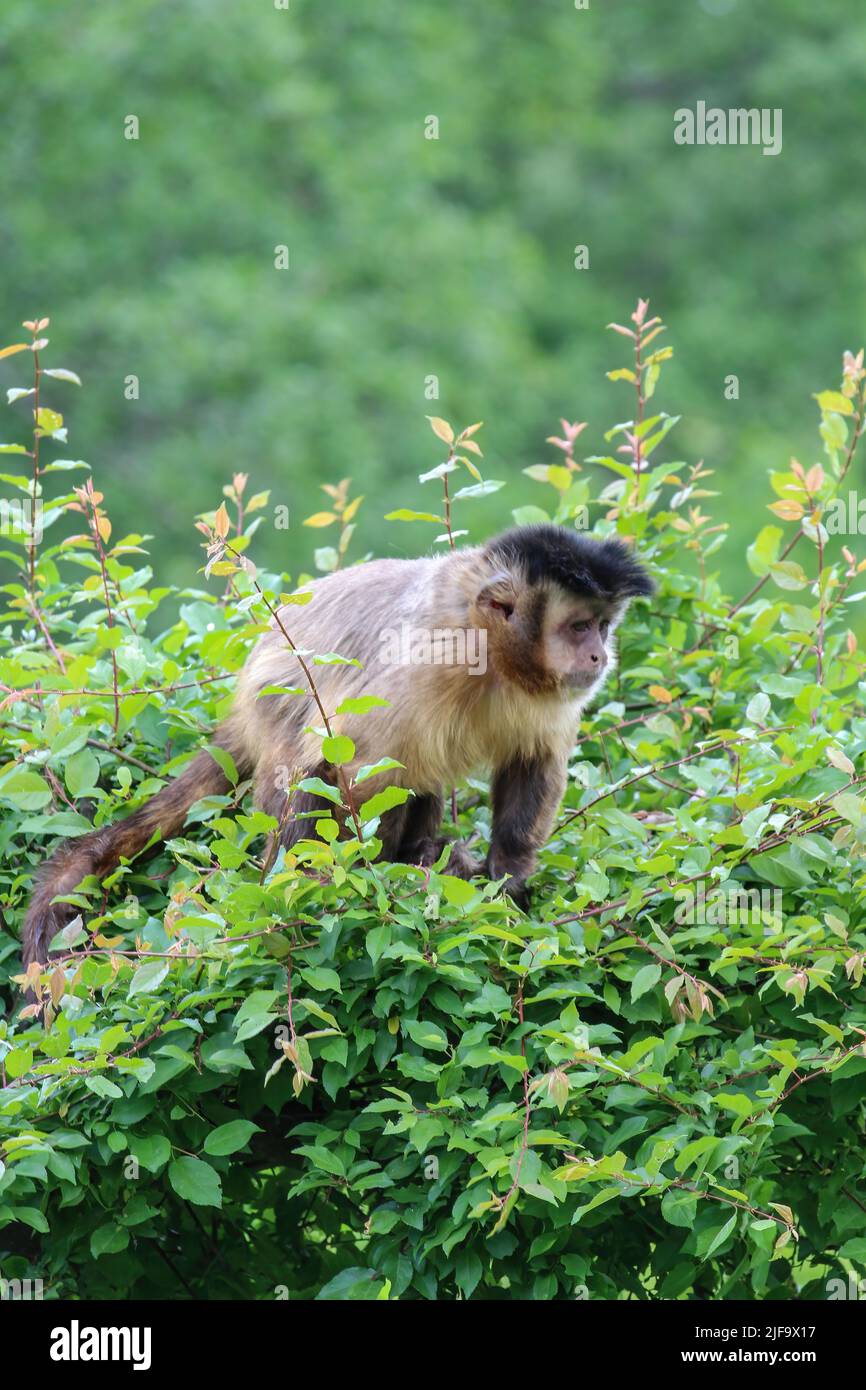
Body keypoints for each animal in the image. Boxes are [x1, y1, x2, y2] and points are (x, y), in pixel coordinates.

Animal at [20, 524, 653, 974]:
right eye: (577, 628)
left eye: (602, 626)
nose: (600, 655)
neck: (490, 653)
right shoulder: (425, 660)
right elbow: (353, 766)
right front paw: (370, 882)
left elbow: (531, 762)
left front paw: (508, 878)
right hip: (270, 712)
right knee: (313, 762)